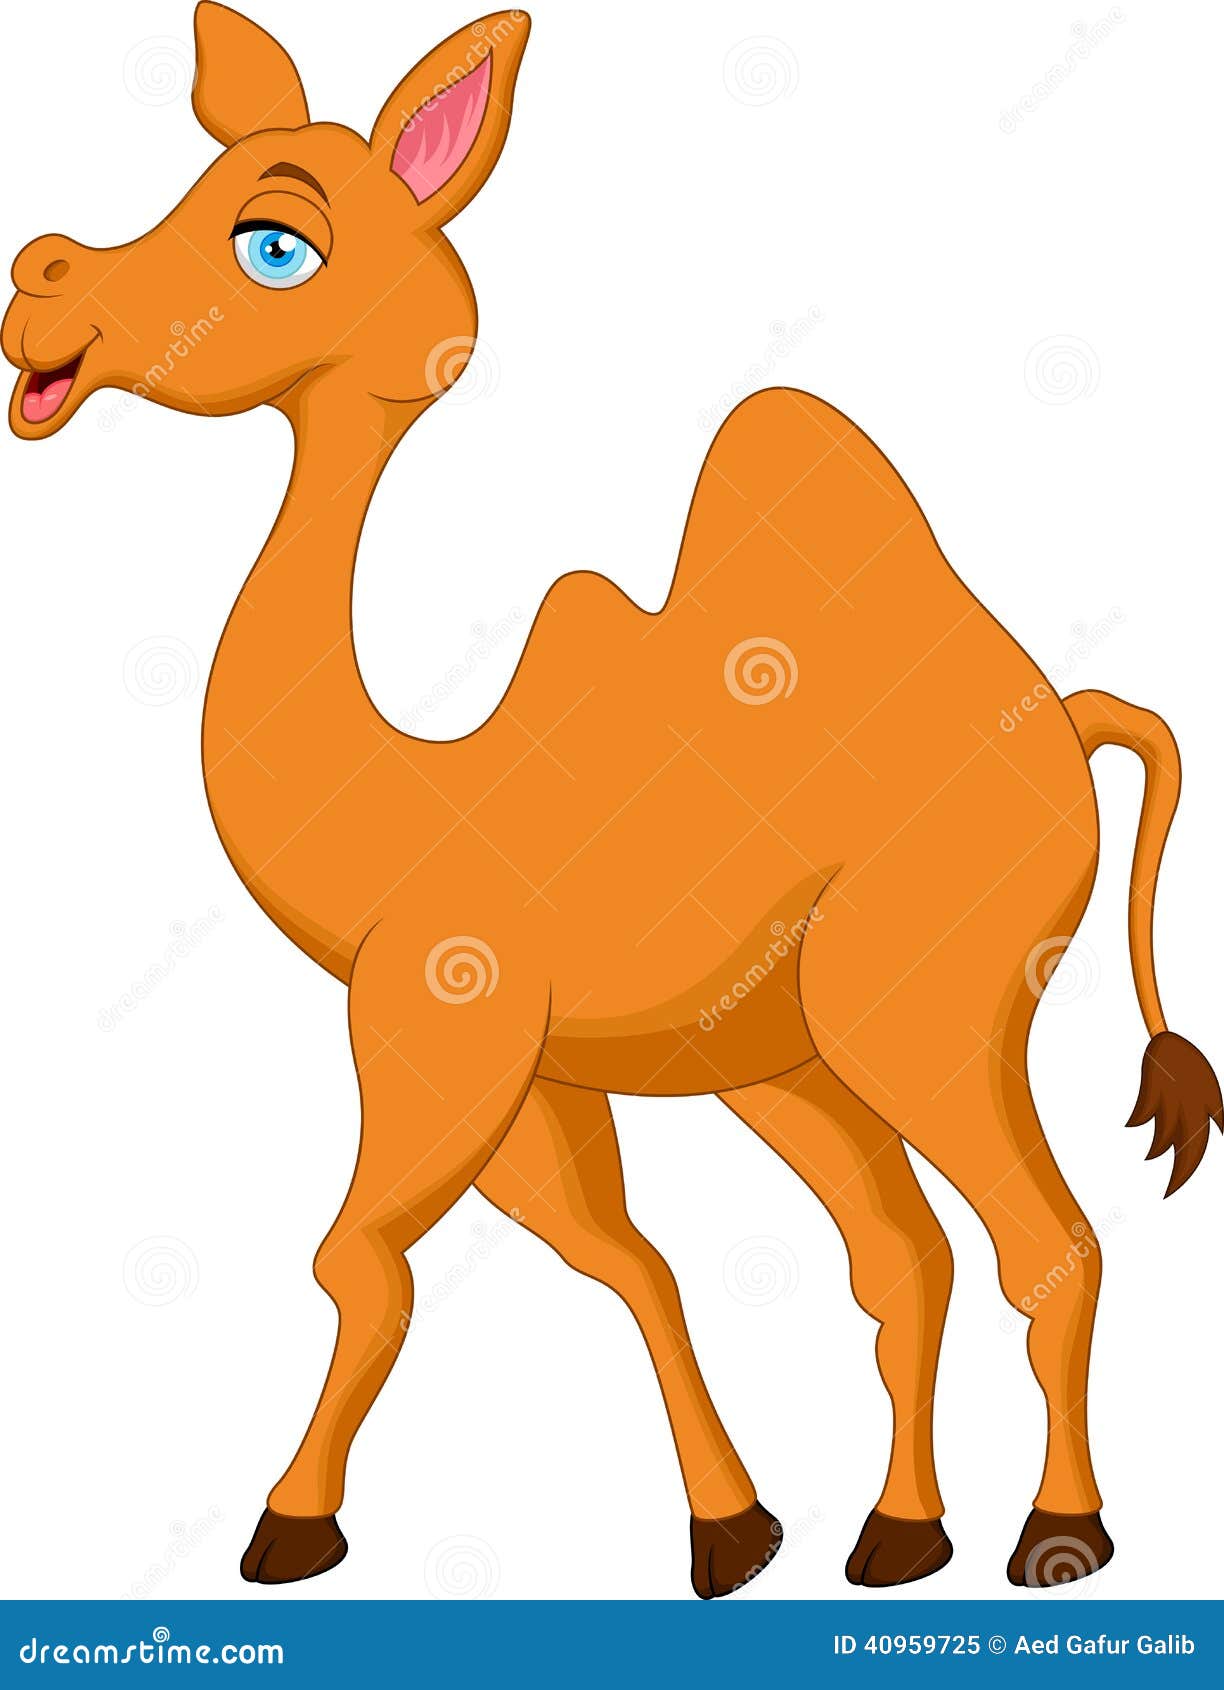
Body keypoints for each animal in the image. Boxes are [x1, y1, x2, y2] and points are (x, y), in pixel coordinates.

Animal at [5, 3, 1219, 1599]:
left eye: (275, 242)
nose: (39, 284)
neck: (406, 796)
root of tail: (1068, 722)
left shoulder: (436, 1021)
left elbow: (357, 1257)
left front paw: (290, 1527)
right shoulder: (533, 1077)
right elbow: (622, 1257)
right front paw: (736, 1531)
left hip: (925, 990)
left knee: (1048, 1240)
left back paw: (1059, 1536)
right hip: (789, 1057)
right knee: (905, 1255)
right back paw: (898, 1537)